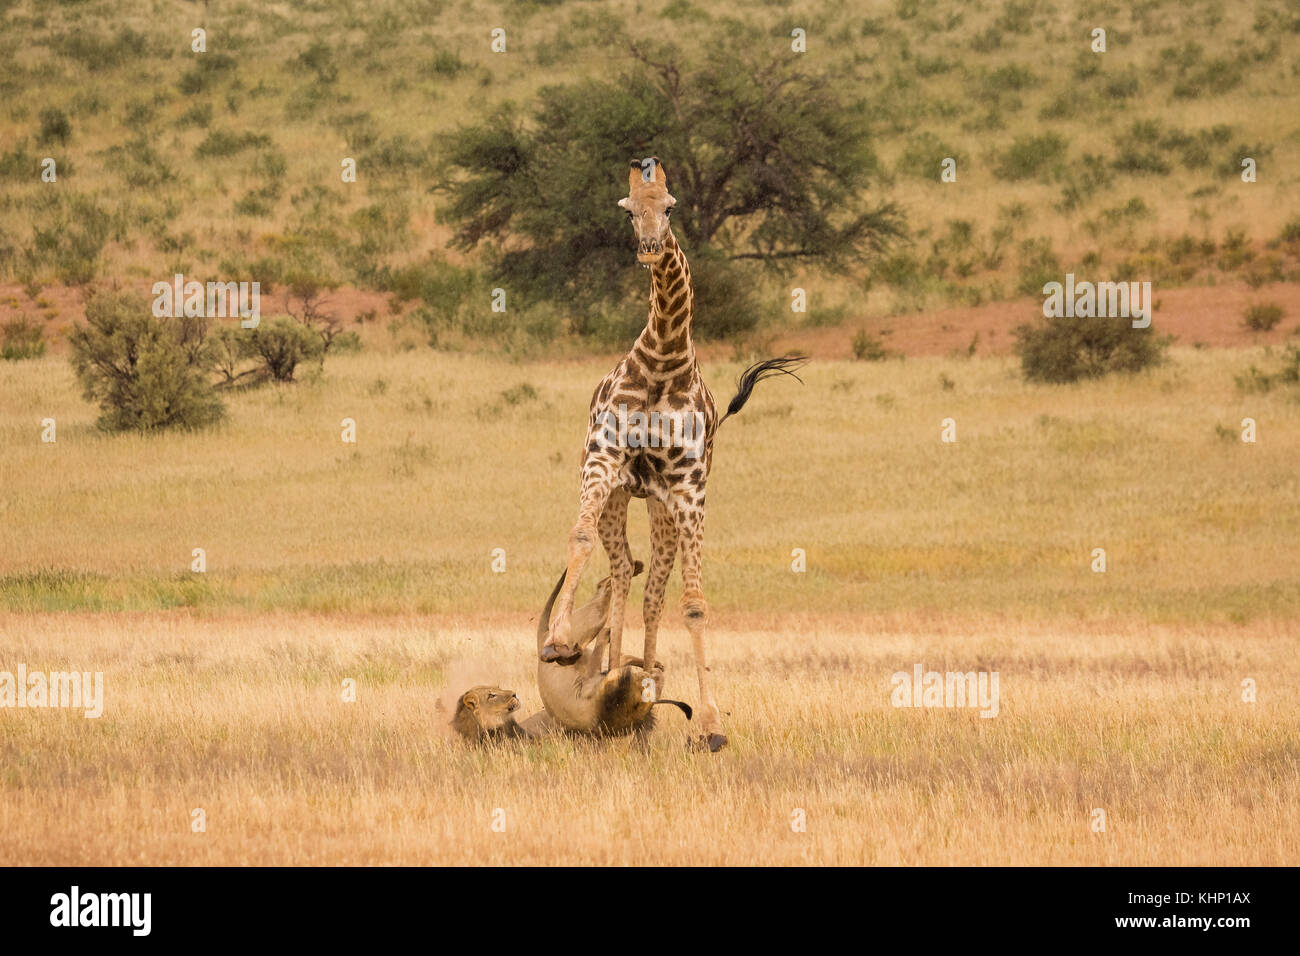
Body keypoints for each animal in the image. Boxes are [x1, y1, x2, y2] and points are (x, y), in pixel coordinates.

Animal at [539, 157, 805, 753]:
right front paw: (560, 641)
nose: (649, 248)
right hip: (623, 496)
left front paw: (710, 725)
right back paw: (610, 673)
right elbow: (579, 537)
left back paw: (645, 680)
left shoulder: (689, 490)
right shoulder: (601, 462)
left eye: (670, 206)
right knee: (620, 573)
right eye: (626, 209)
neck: (662, 359)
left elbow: (694, 602)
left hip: (660, 508)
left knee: (652, 590)